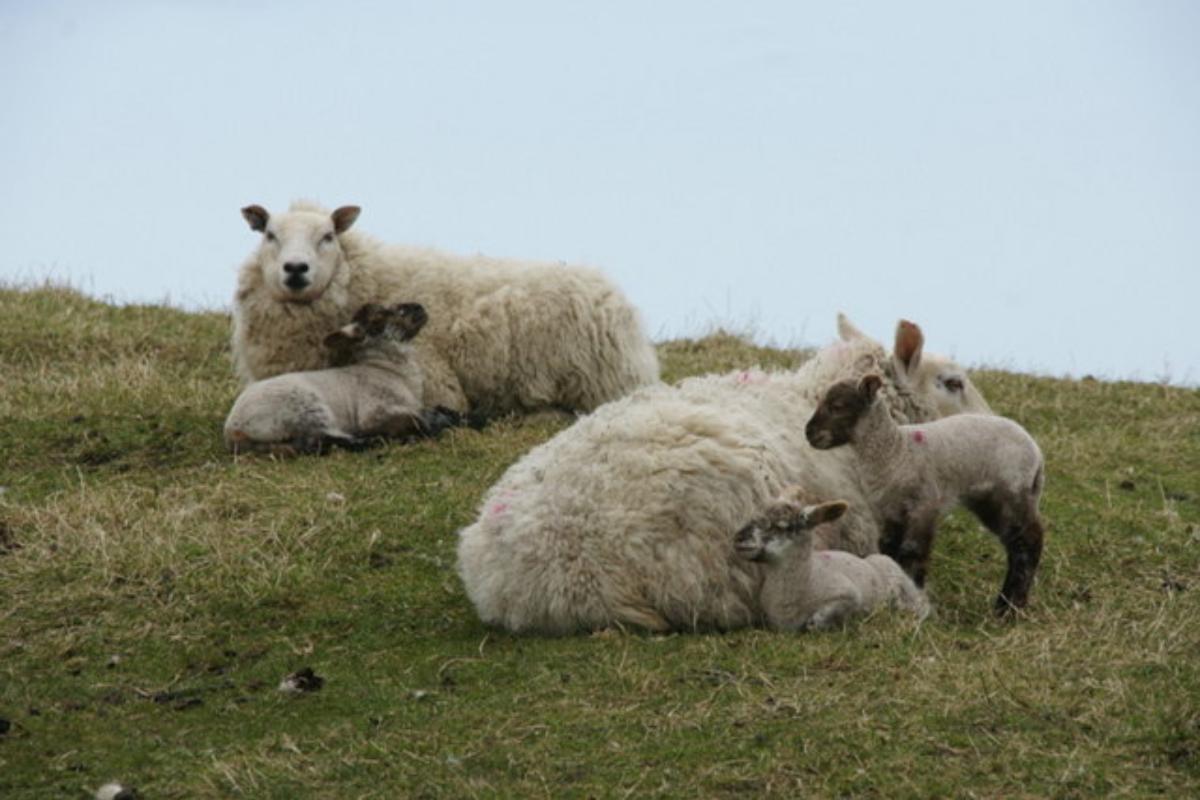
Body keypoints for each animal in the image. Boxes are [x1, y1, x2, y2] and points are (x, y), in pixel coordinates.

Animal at [224, 302, 456, 454]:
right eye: (379, 318)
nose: (418, 307)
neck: (388, 370)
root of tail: (234, 430)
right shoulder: (377, 410)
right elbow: (419, 423)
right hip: (307, 410)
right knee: (317, 441)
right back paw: (369, 442)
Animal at [805, 373, 1045, 613]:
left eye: (837, 406)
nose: (808, 433)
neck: (895, 451)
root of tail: (1037, 454)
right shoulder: (890, 511)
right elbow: (888, 549)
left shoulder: (923, 505)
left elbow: (913, 551)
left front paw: (915, 592)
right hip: (987, 501)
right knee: (1016, 545)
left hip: (1011, 492)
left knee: (1028, 543)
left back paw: (1010, 607)